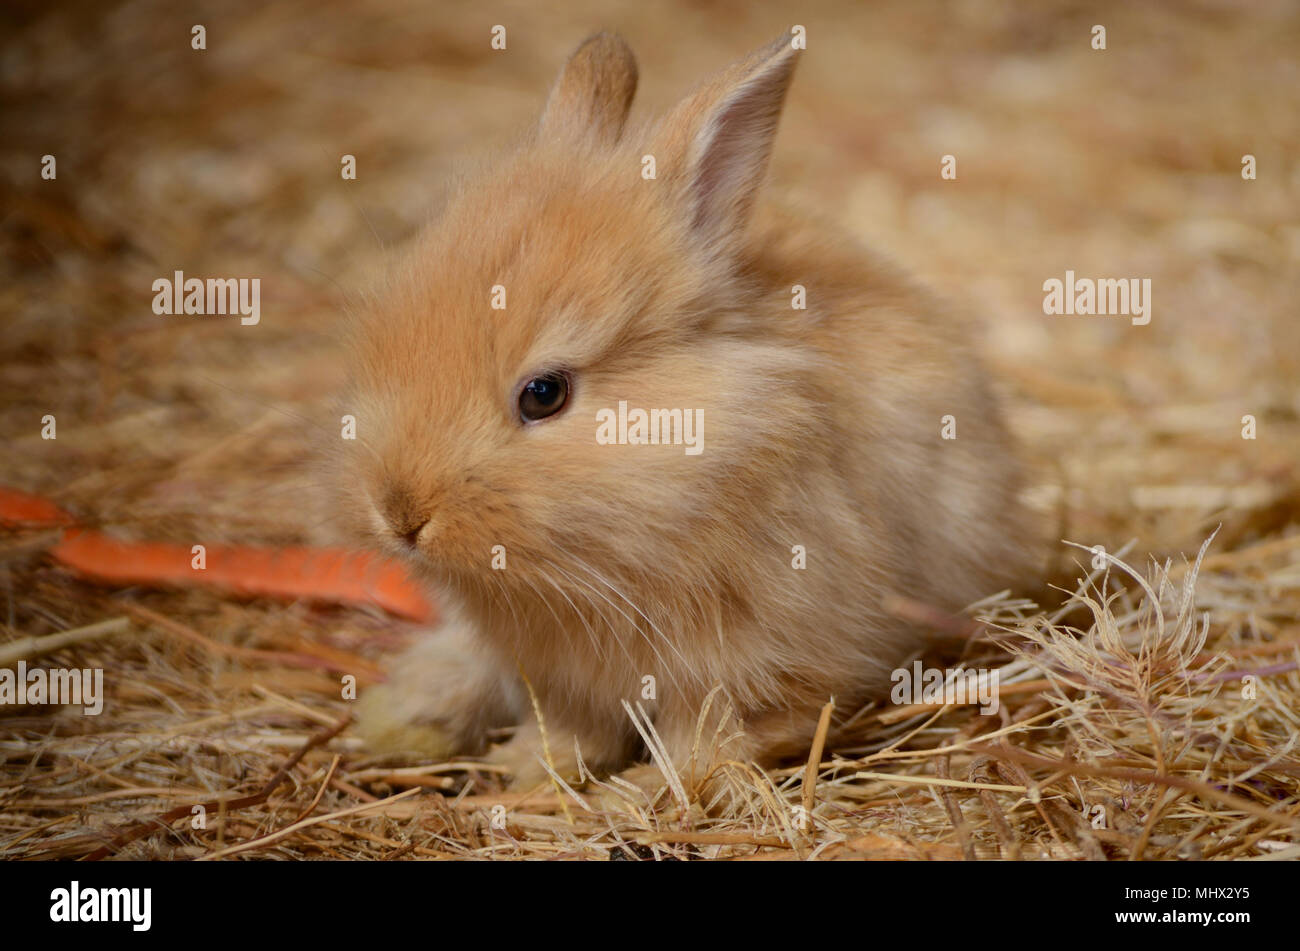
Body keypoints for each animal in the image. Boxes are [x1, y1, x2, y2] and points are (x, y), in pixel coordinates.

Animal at [338, 31, 1037, 786]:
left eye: (544, 394)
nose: (400, 515)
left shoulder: (749, 664)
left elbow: (713, 738)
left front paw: (641, 791)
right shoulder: (565, 680)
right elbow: (575, 728)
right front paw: (533, 770)